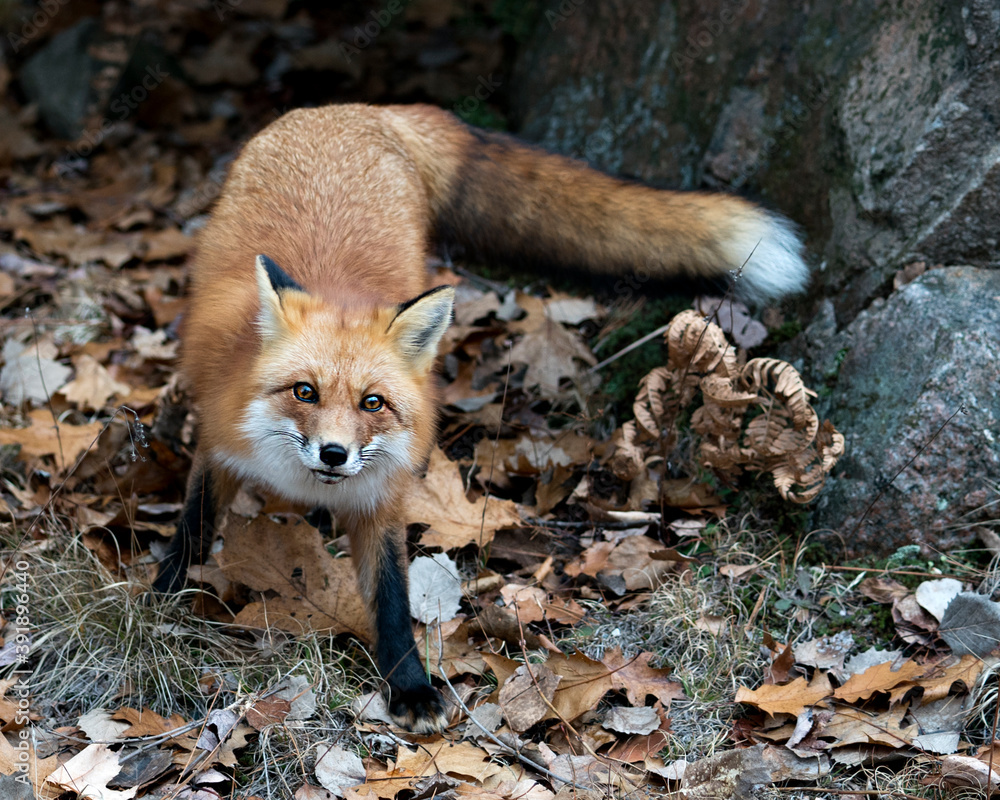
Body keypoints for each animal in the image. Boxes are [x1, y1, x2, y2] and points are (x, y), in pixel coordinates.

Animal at [152, 103, 809, 733]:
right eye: (304, 392)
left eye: (373, 403)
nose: (334, 454)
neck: (300, 476)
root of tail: (358, 109)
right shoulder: (219, 447)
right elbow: (194, 525)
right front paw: (160, 603)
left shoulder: (380, 496)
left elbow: (393, 598)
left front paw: (410, 687)